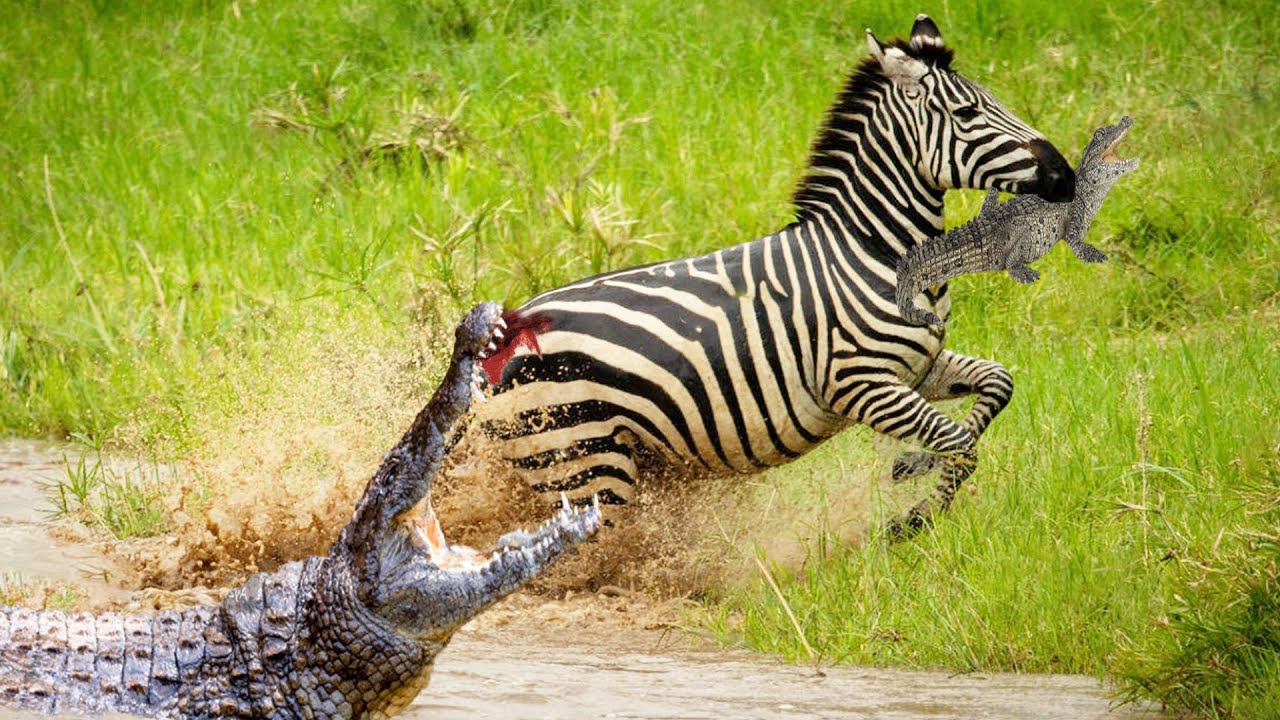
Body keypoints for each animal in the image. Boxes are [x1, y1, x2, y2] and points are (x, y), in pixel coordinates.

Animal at [462, 15, 1076, 537]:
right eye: (969, 114)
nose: (1066, 176)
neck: (875, 250)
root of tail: (502, 333)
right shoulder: (861, 382)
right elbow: (961, 444)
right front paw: (914, 519)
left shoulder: (917, 368)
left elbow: (997, 386)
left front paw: (913, 466)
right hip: (582, 459)